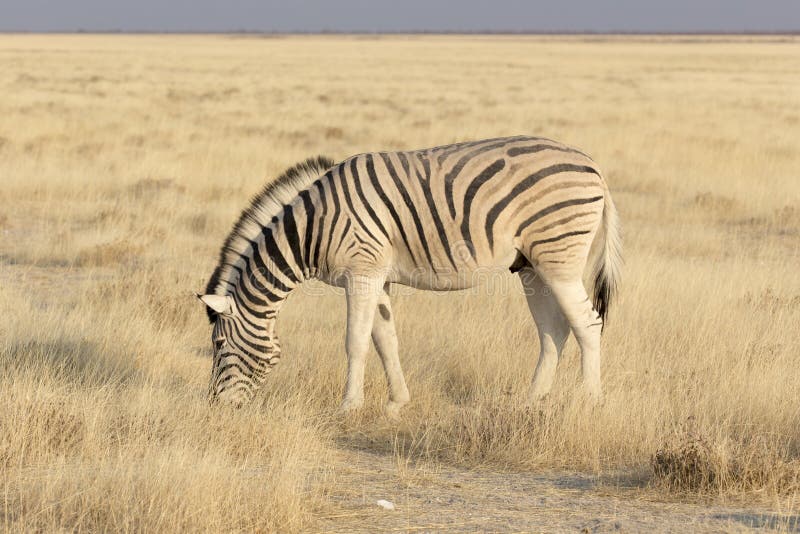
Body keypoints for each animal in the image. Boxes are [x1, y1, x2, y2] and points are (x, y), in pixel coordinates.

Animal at [198, 135, 622, 412]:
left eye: (218, 345)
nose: (216, 408)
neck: (311, 228)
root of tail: (595, 167)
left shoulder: (362, 271)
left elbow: (355, 341)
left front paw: (349, 406)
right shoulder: (377, 276)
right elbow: (386, 339)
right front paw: (397, 402)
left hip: (559, 258)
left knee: (587, 323)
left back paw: (589, 402)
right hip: (532, 267)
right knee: (554, 330)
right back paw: (531, 400)